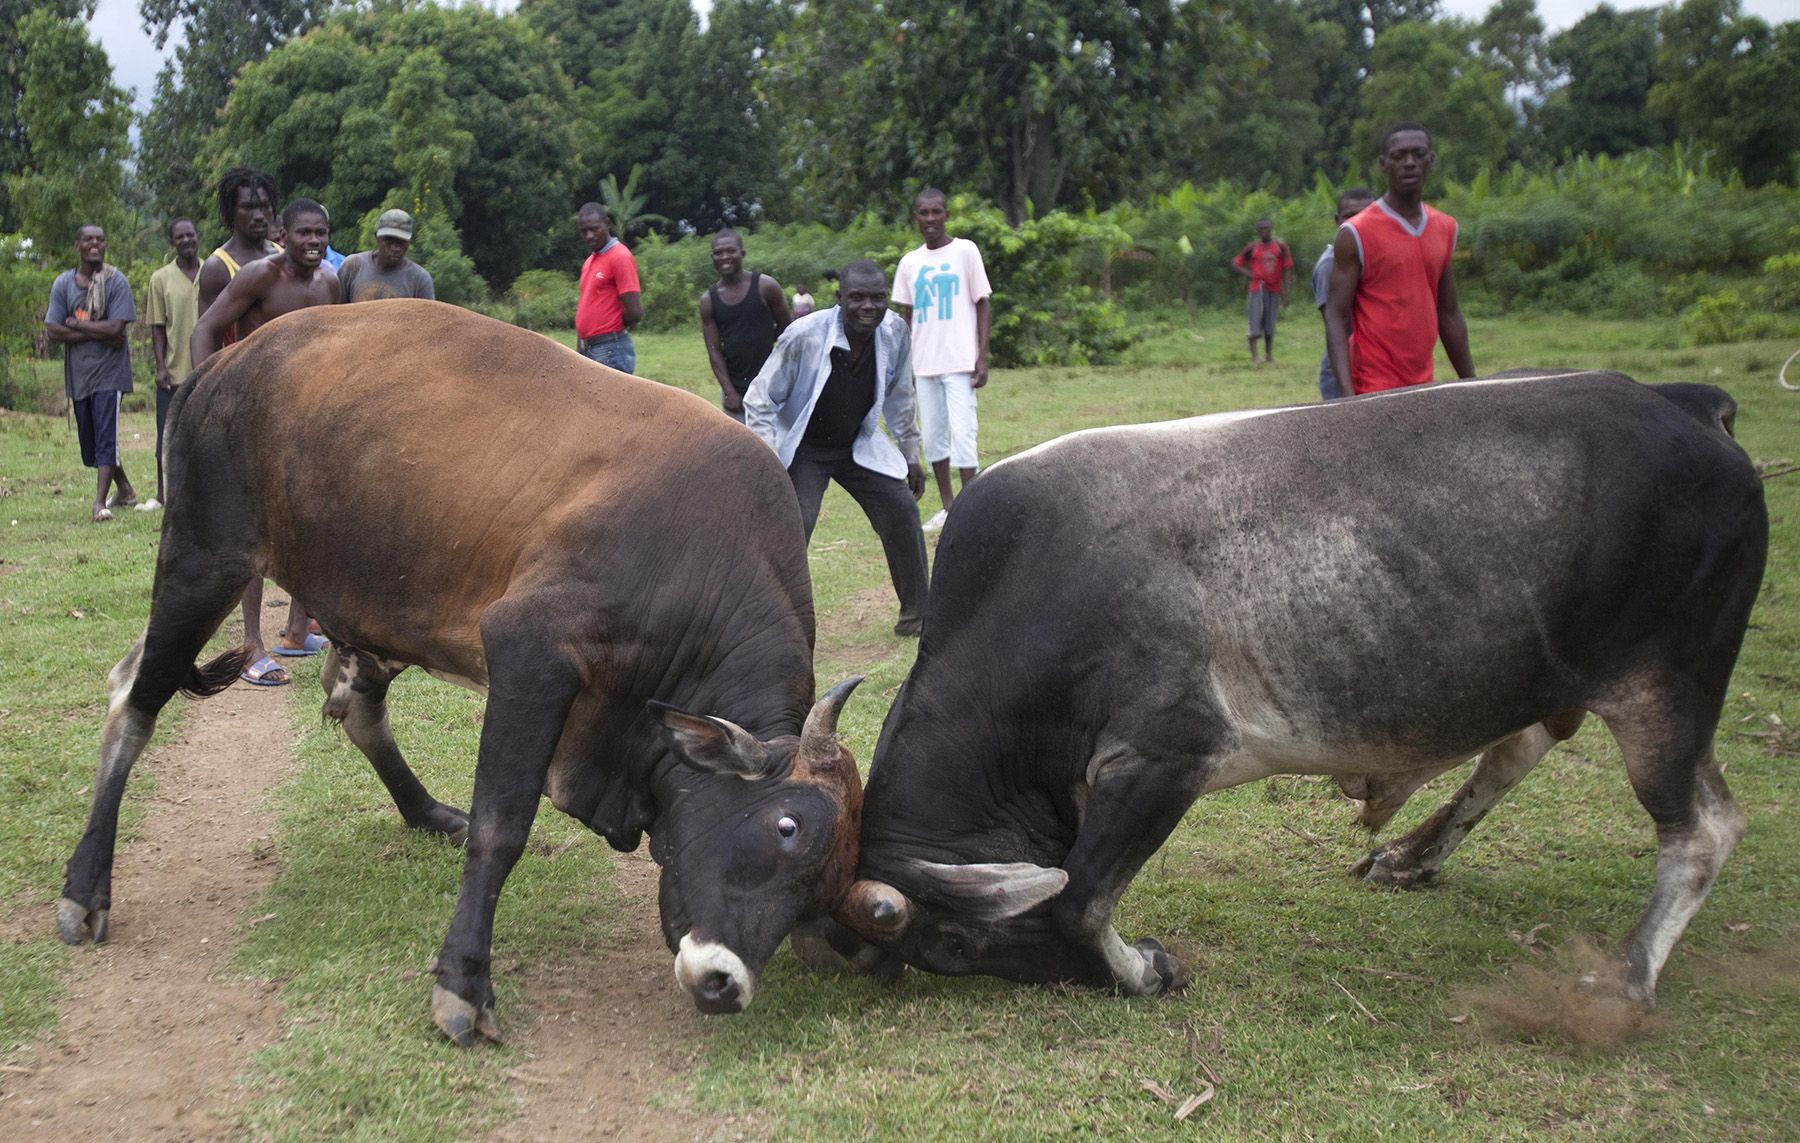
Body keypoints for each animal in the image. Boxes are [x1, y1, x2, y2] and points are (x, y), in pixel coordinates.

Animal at [56, 300, 866, 1043]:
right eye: (786, 825)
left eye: (823, 891)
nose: (727, 983)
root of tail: (226, 363)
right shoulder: (530, 651)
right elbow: (501, 829)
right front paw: (463, 983)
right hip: (204, 559)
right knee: (137, 698)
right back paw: (85, 885)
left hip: (371, 597)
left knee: (347, 707)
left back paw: (423, 812)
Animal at [832, 371, 1767, 1010]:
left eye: (956, 939)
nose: (1055, 985)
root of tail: (1685, 402)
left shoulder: (1169, 752)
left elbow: (1082, 897)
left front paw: (1142, 972)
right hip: (1549, 671)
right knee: (1519, 749)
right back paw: (1411, 856)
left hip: (1663, 689)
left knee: (1702, 828)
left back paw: (1626, 976)